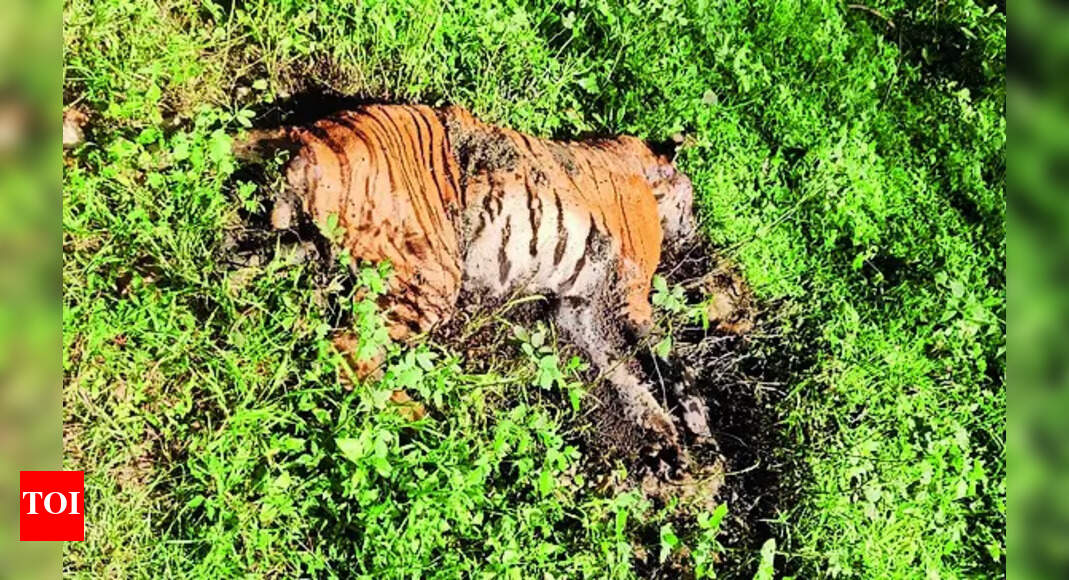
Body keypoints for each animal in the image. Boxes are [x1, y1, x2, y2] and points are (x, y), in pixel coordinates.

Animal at [238, 104, 703, 460]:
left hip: (308, 246)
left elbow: (619, 370)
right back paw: (425, 425)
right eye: (693, 201)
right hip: (431, 278)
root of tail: (307, 134)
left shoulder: (580, 311)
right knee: (349, 350)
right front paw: (695, 420)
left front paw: (660, 427)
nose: (694, 229)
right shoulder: (632, 292)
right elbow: (667, 353)